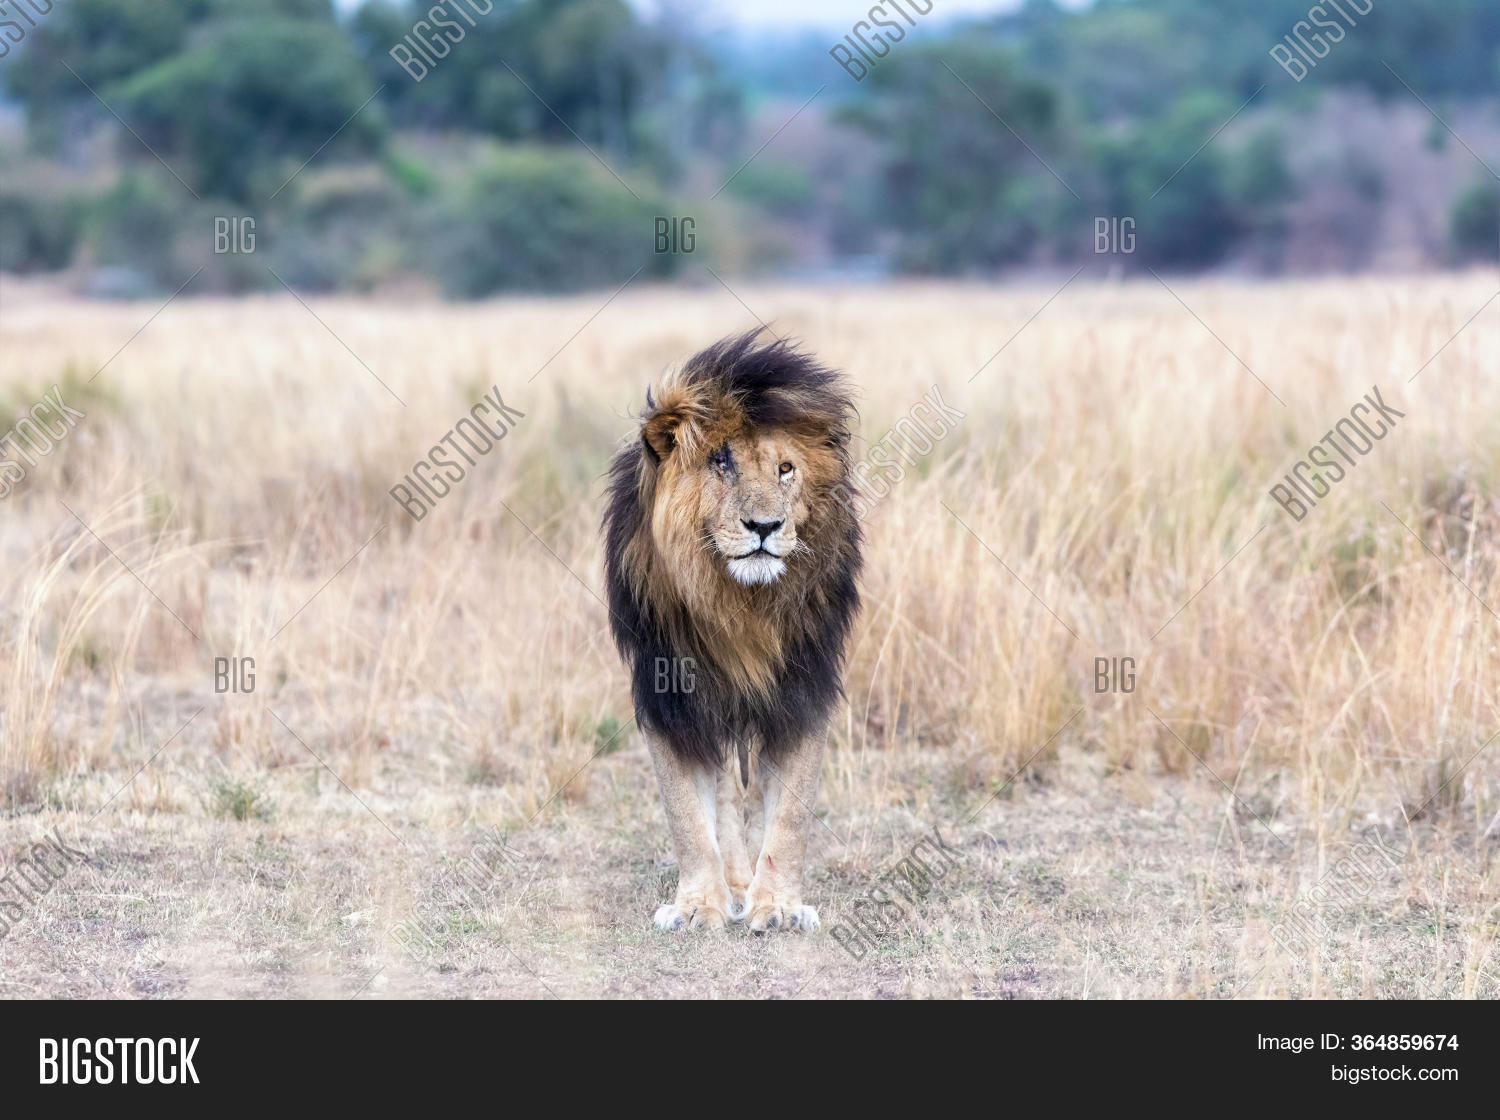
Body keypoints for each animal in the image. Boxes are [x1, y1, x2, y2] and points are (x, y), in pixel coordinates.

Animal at [603, 329, 862, 932]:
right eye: (720, 462)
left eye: (786, 469)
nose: (765, 526)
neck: (740, 603)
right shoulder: (669, 696)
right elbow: (688, 817)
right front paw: (699, 905)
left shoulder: (802, 692)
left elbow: (788, 818)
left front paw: (780, 906)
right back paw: (733, 885)